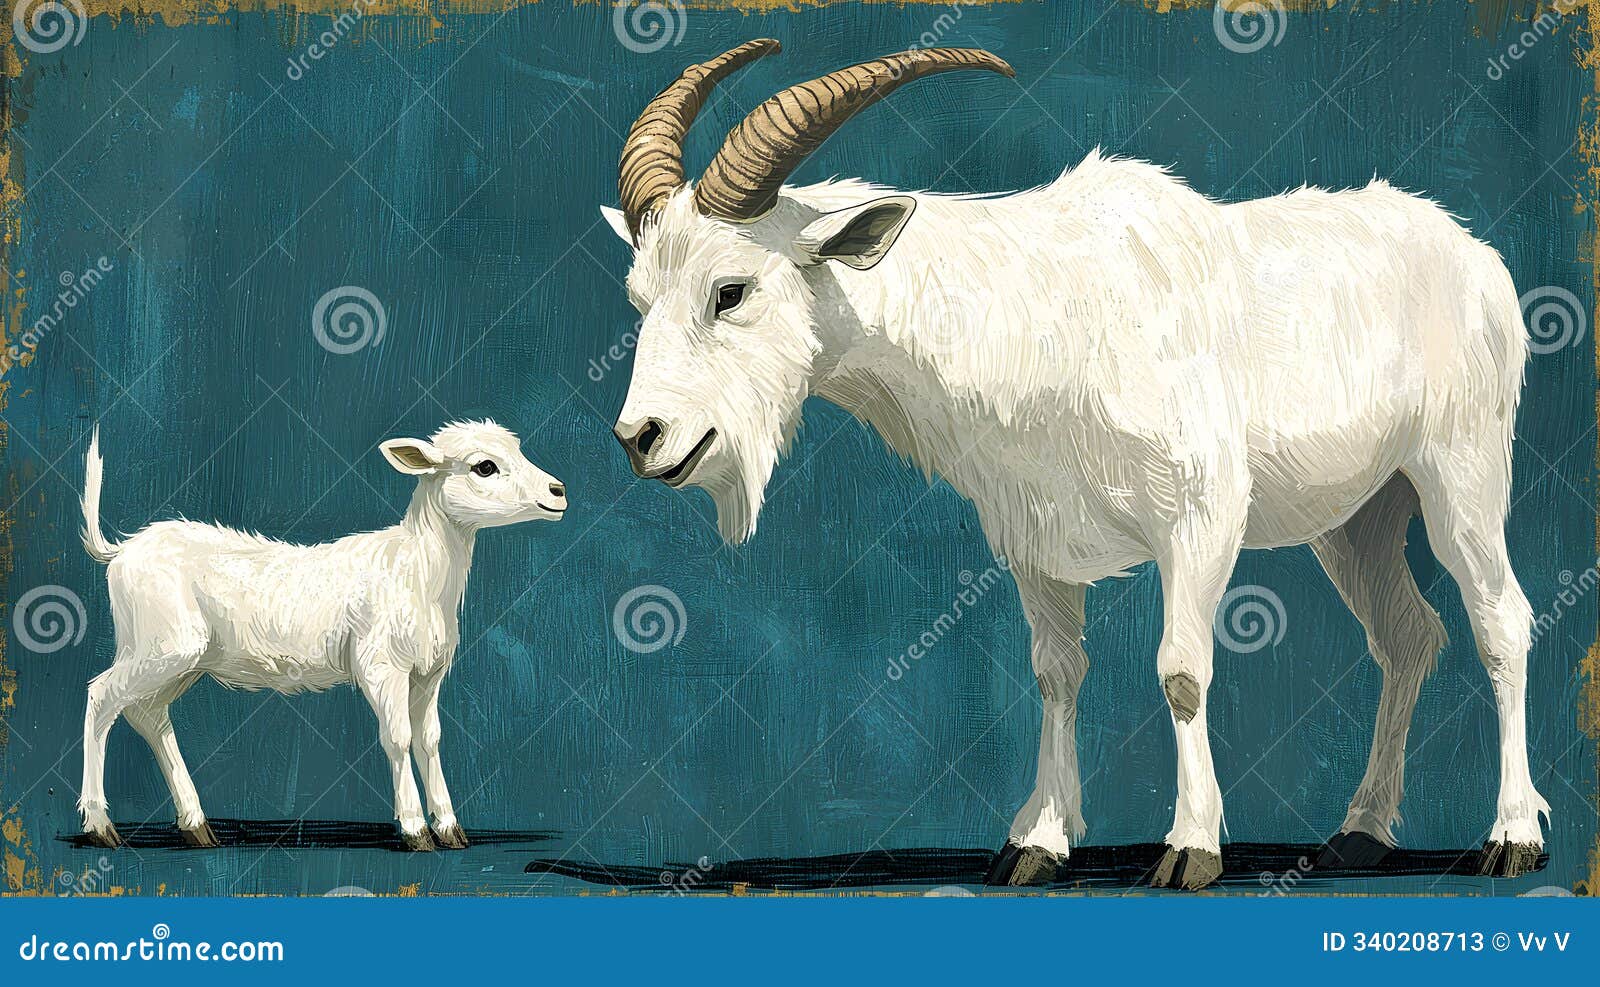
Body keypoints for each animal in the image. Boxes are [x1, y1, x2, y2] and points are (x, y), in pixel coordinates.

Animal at [77, 419, 567, 851]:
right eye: (484, 466)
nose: (558, 491)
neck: (420, 572)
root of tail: (122, 548)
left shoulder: (429, 672)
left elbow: (429, 740)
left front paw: (449, 828)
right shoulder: (380, 666)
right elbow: (398, 738)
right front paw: (415, 831)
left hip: (182, 659)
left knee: (148, 715)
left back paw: (196, 825)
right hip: (162, 646)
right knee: (102, 696)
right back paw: (100, 824)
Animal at [602, 40, 1548, 889]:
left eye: (731, 290)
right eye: (640, 297)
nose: (642, 436)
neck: (1042, 313)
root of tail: (1478, 258)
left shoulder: (1199, 521)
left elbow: (1181, 671)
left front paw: (1191, 848)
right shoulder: (1036, 548)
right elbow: (1057, 675)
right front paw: (1037, 843)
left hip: (1459, 475)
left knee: (1500, 621)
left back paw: (1513, 835)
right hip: (1359, 519)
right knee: (1408, 636)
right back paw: (1361, 833)